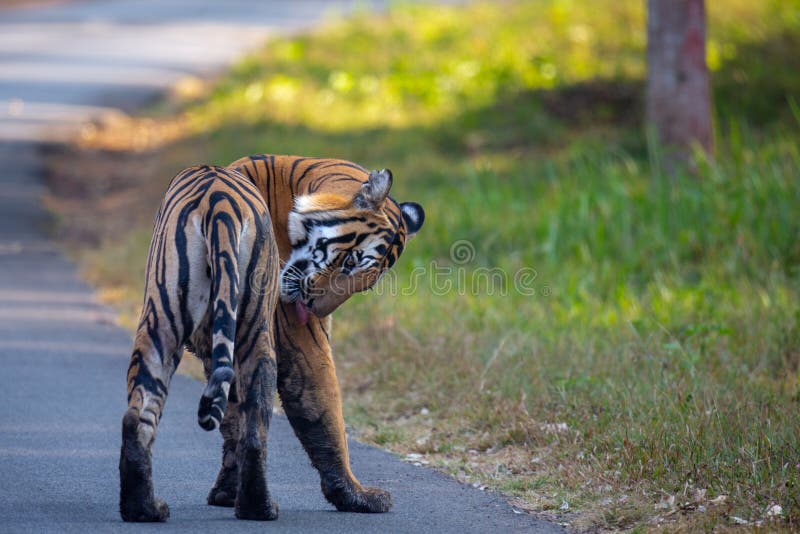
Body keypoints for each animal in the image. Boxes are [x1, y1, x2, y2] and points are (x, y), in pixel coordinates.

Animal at [120, 155, 425, 522]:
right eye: (350, 262)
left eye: (364, 285)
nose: (316, 309)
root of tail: (218, 205)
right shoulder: (300, 342)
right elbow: (325, 414)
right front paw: (357, 495)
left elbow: (230, 420)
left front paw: (225, 493)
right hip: (257, 330)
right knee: (256, 427)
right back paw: (259, 507)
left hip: (161, 322)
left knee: (138, 415)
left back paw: (143, 508)